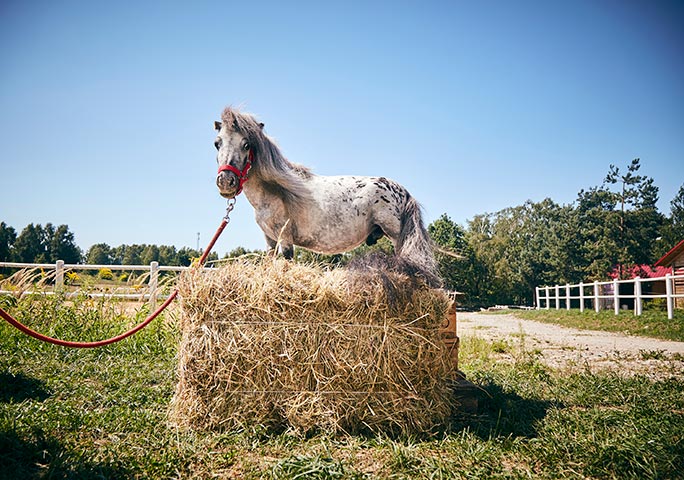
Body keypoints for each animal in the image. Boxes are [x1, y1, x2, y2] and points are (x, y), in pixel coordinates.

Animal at [213, 107, 441, 288]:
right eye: (217, 143)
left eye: (246, 144)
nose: (226, 182)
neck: (275, 193)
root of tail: (404, 192)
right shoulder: (270, 240)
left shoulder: (285, 239)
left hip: (395, 236)